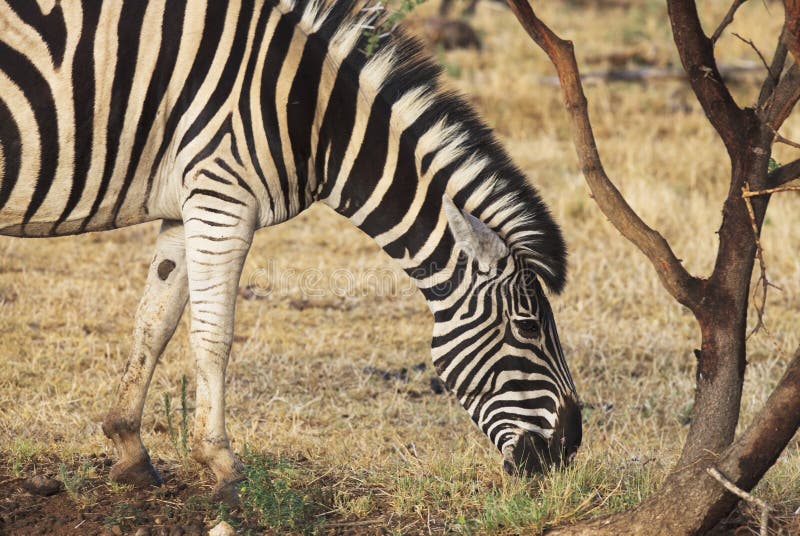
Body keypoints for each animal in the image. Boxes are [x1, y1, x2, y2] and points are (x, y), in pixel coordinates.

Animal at [0, 0, 581, 499]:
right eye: (528, 327)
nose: (569, 447)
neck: (316, 115)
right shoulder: (222, 194)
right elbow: (214, 334)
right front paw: (222, 464)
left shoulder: (186, 204)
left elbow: (155, 320)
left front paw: (128, 448)